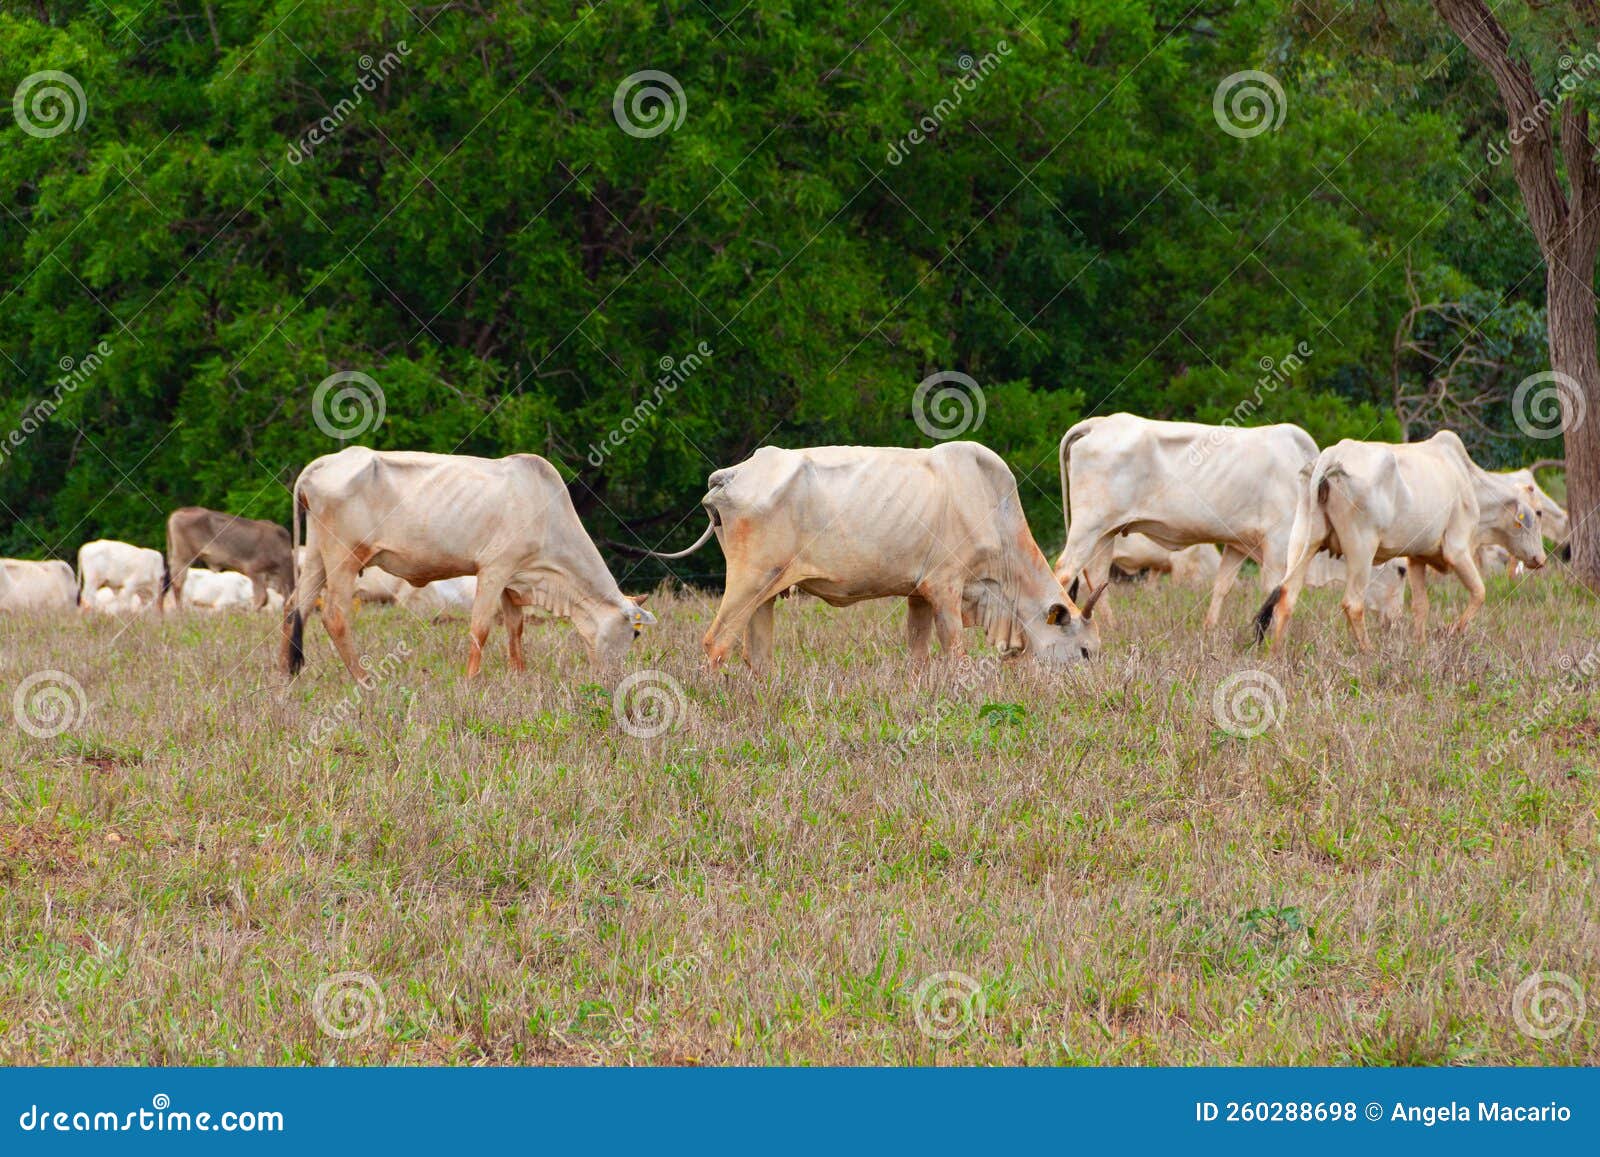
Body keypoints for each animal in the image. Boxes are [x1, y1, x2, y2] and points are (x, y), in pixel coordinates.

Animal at [165, 507, 294, 613]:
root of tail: (178, 512)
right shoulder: (254, 571)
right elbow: (262, 598)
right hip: (182, 558)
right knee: (178, 584)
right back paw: (181, 613)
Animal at [281, 447, 655, 680]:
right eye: (635, 633)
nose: (615, 678)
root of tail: (322, 465)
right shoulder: (494, 569)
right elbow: (481, 628)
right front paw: (472, 679)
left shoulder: (512, 577)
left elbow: (515, 628)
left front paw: (519, 674)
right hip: (344, 557)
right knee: (334, 616)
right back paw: (361, 678)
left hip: (316, 555)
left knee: (295, 607)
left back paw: (287, 673)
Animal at [645, 442, 1100, 671]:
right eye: (1085, 652)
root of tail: (734, 474)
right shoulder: (946, 586)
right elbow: (954, 652)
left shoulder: (919, 593)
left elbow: (918, 655)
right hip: (748, 579)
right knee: (716, 642)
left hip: (766, 590)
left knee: (756, 654)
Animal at [1052, 414, 1320, 629]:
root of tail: (1098, 423)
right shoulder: (1278, 542)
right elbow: (1276, 590)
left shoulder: (1238, 543)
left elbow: (1222, 586)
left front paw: (1209, 630)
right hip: (1087, 526)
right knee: (1064, 571)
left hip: (1105, 532)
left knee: (1097, 578)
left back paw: (1110, 627)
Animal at [1255, 430, 1547, 650]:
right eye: (1538, 513)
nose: (1541, 559)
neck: (1470, 483)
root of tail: (1332, 455)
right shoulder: (1458, 550)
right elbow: (1479, 592)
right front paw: (1450, 631)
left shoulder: (1417, 557)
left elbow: (1420, 606)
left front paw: (1421, 645)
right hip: (1361, 549)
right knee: (1353, 603)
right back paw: (1368, 653)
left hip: (1302, 538)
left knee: (1286, 597)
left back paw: (1275, 654)